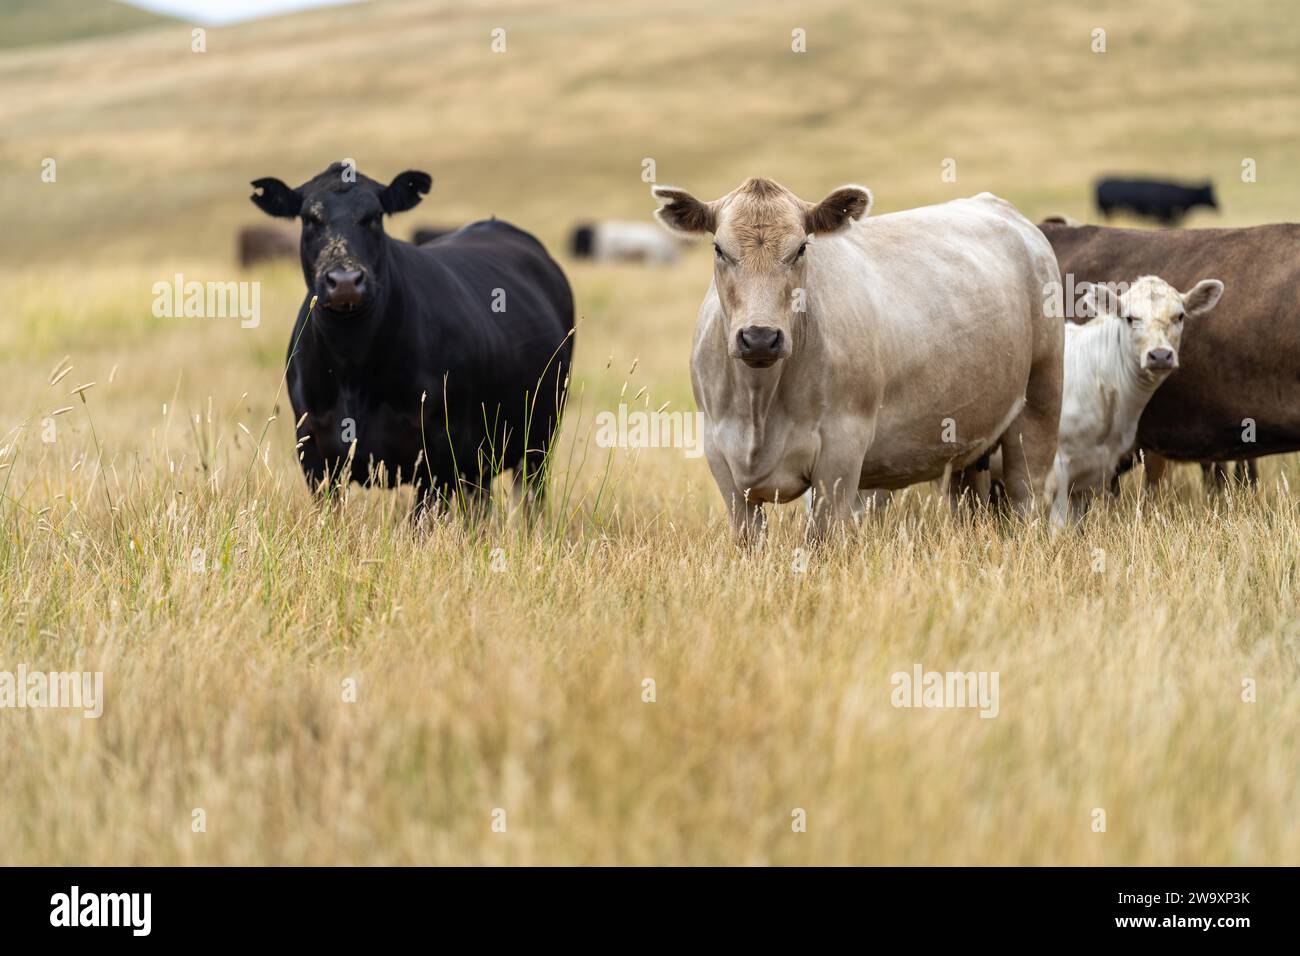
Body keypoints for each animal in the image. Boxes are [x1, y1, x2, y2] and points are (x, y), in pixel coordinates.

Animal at [249, 162, 574, 520]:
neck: (352, 369)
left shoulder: (438, 455)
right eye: (310, 218)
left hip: (539, 439)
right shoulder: (314, 452)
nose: (345, 281)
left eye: (374, 217)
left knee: (529, 500)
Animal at [653, 178, 1063, 543]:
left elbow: (821, 541)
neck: (759, 406)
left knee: (1027, 496)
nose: (759, 338)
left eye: (801, 248)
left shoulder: (841, 452)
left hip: (1040, 402)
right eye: (719, 249)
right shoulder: (722, 459)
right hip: (967, 437)